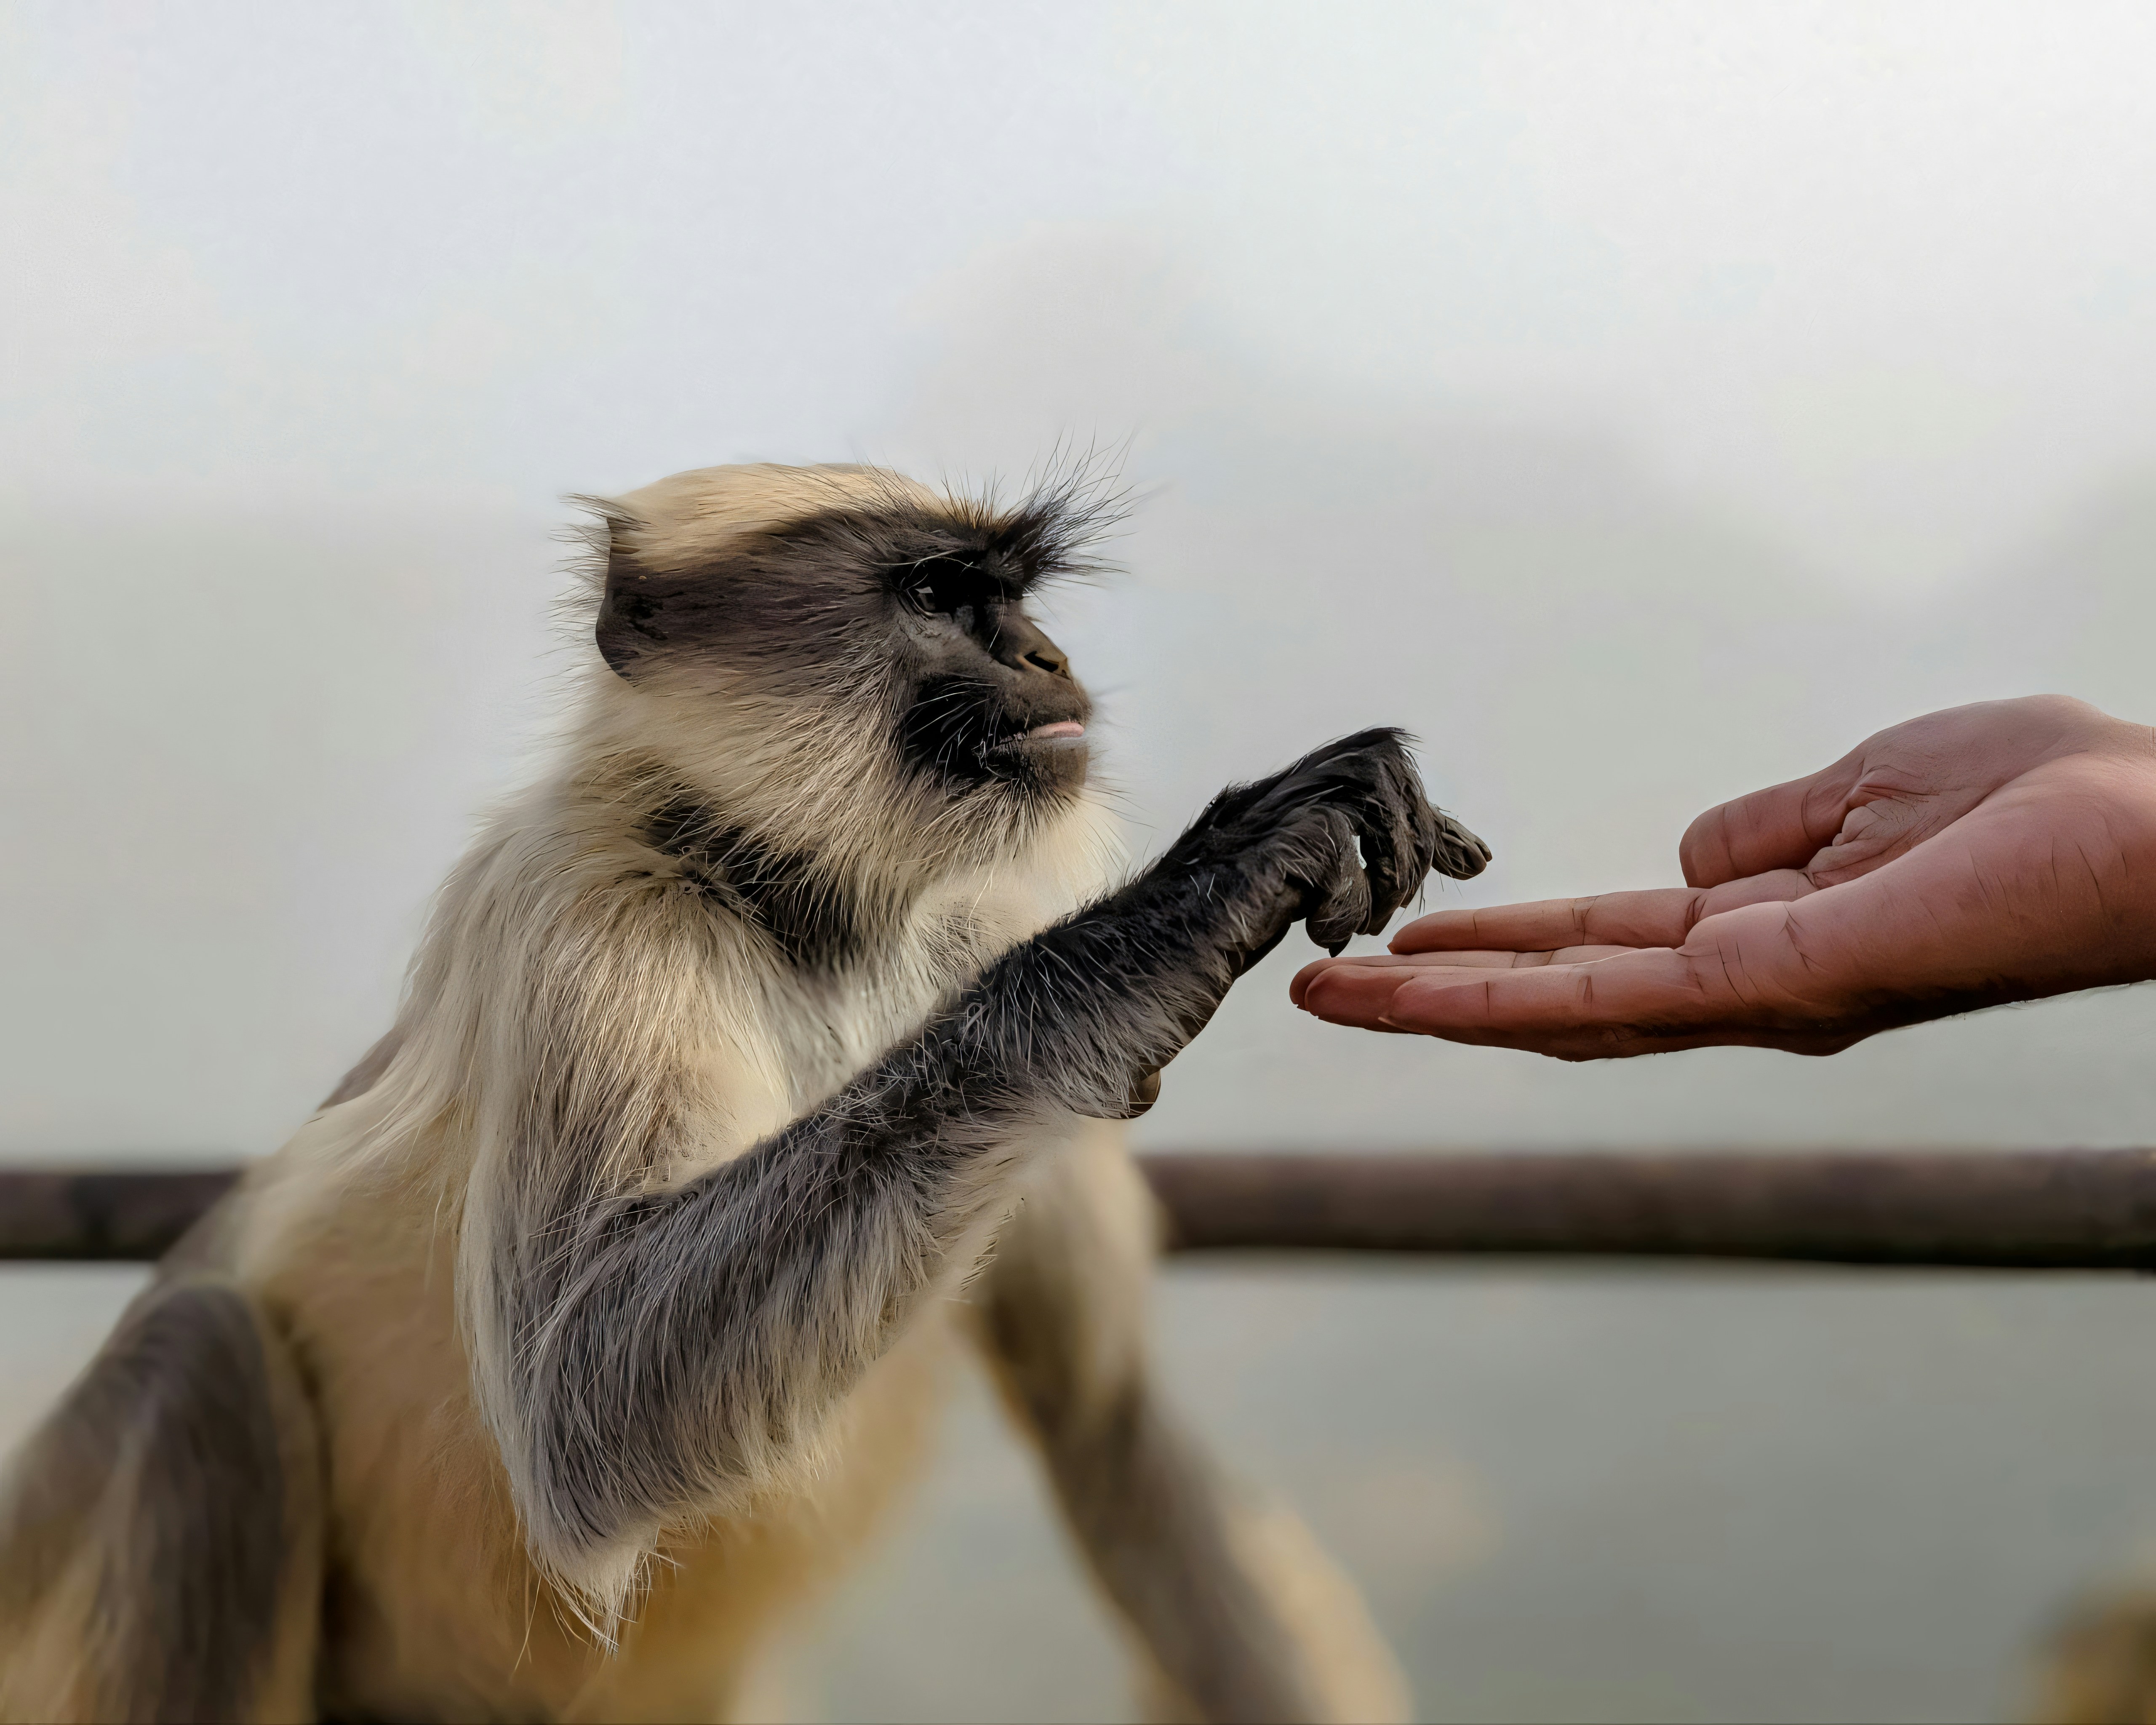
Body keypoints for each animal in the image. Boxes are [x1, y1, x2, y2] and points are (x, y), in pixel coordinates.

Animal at [0, 462, 1490, 1724]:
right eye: (937, 599)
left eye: (1016, 604)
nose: (1044, 659)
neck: (804, 919)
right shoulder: (592, 919)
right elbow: (581, 1404)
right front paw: (1189, 904)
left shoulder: (972, 937)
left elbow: (1112, 1428)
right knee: (202, 1365)